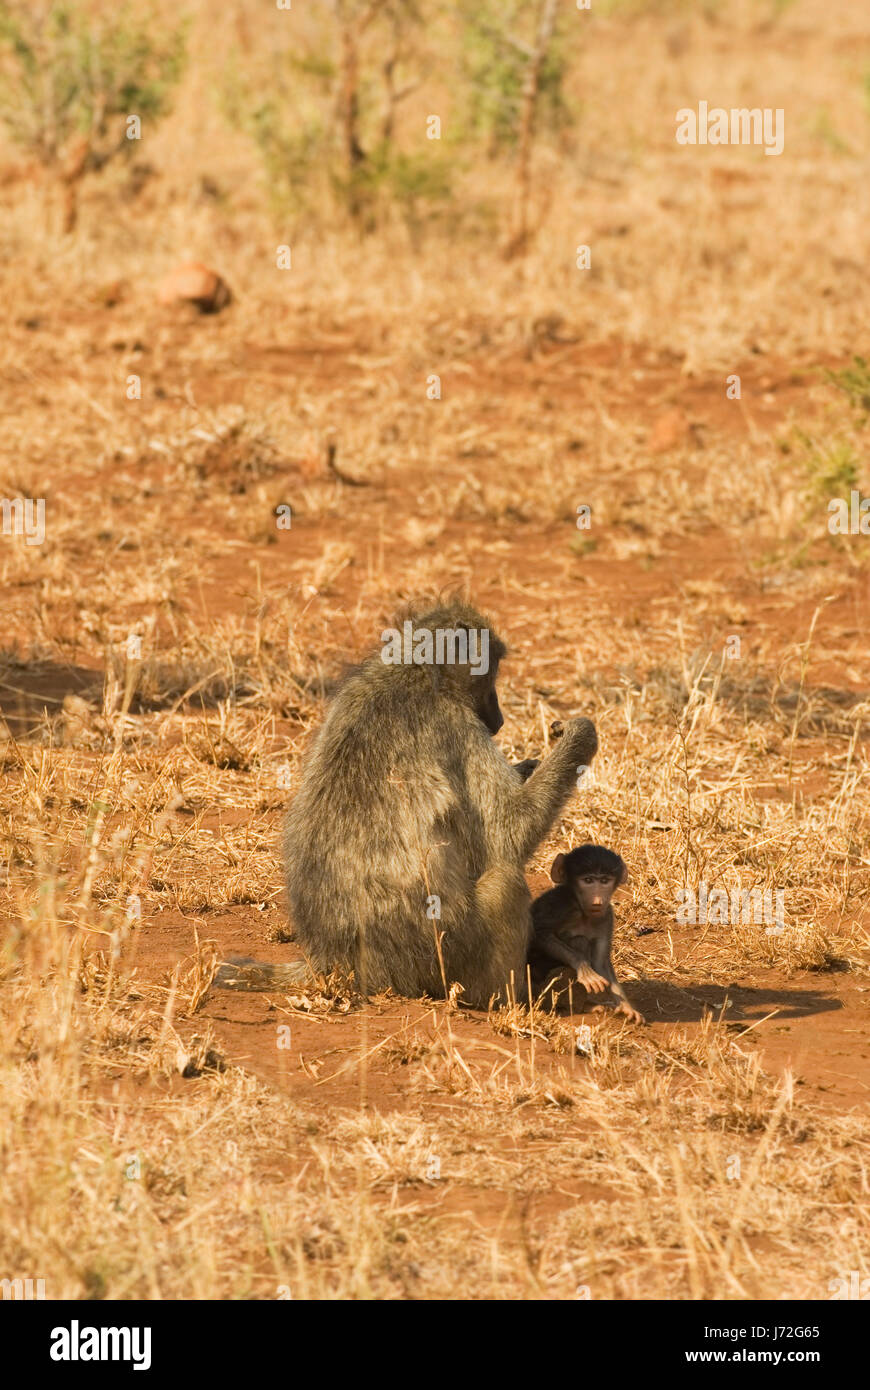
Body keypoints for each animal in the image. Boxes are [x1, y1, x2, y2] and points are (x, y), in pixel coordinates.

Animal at [277, 601, 598, 1008]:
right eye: (491, 670)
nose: (498, 720)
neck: (419, 670)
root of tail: (333, 961)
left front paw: (528, 766)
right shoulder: (456, 725)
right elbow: (509, 833)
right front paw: (580, 734)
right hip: (442, 958)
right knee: (505, 883)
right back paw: (518, 997)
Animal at [529, 844, 645, 1023]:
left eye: (604, 881)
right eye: (588, 880)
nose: (597, 900)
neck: (582, 910)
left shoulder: (606, 916)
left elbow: (600, 962)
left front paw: (627, 1007)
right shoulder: (559, 904)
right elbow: (540, 933)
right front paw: (584, 969)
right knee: (579, 941)